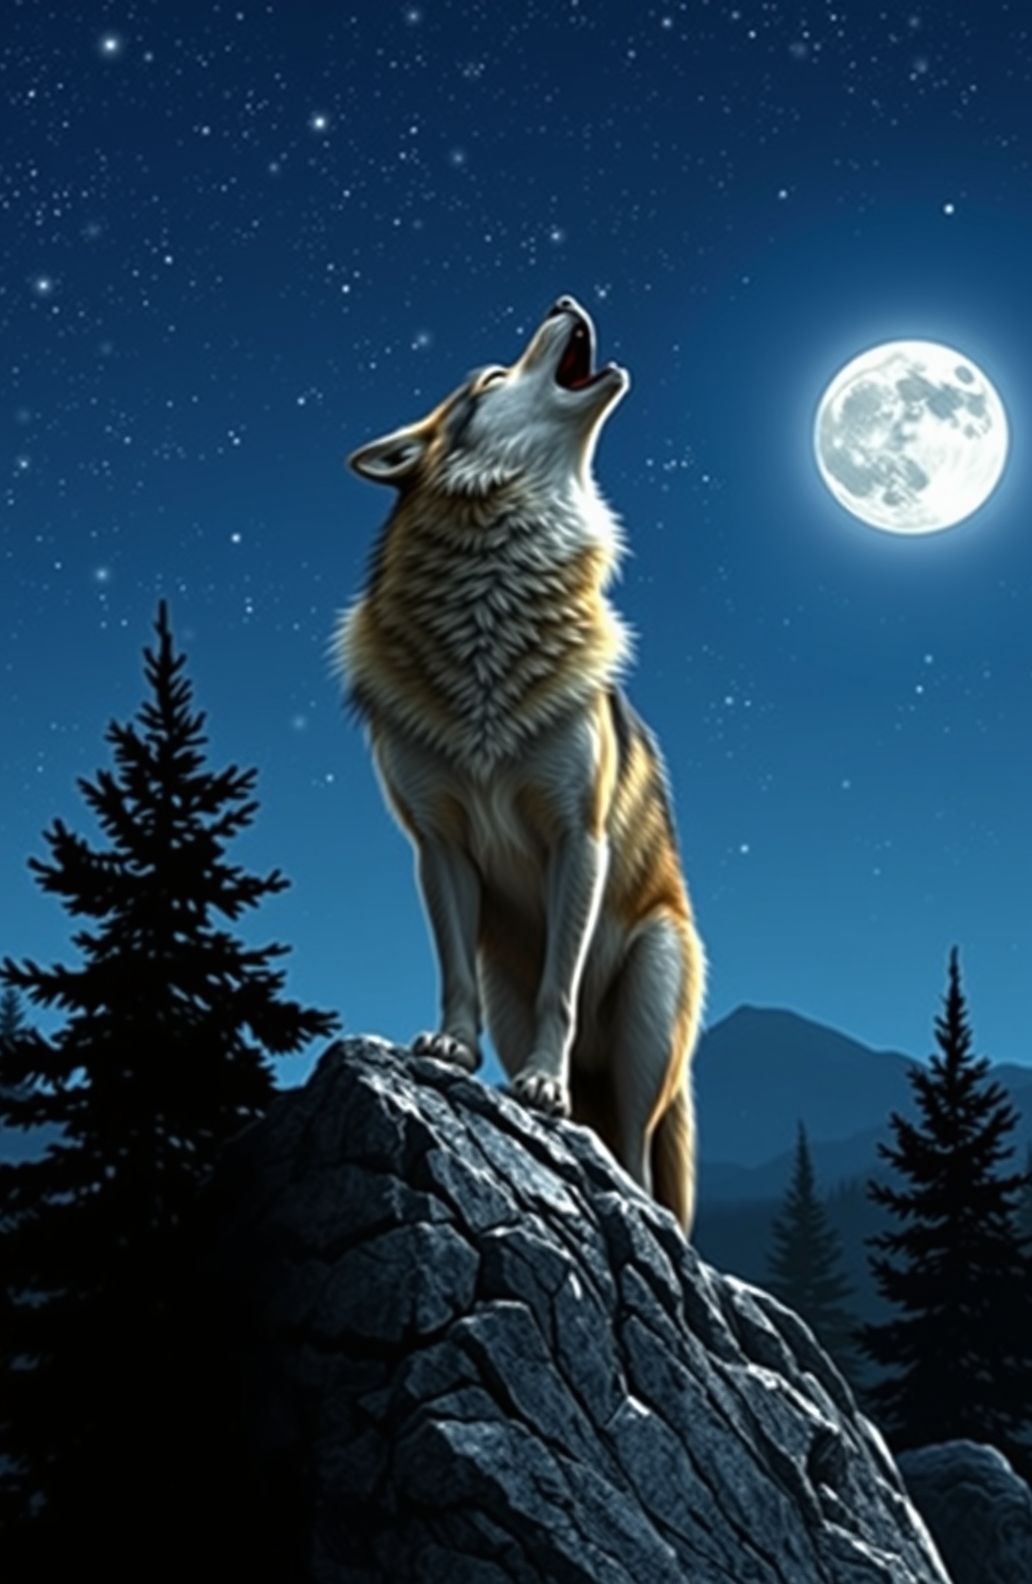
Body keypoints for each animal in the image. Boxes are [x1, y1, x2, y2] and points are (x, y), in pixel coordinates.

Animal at [335, 295, 706, 1232]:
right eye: (493, 377)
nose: (564, 301)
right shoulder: (437, 845)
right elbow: (450, 969)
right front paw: (449, 1049)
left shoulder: (579, 837)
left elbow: (560, 991)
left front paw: (541, 1084)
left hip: (651, 1006)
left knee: (638, 1158)